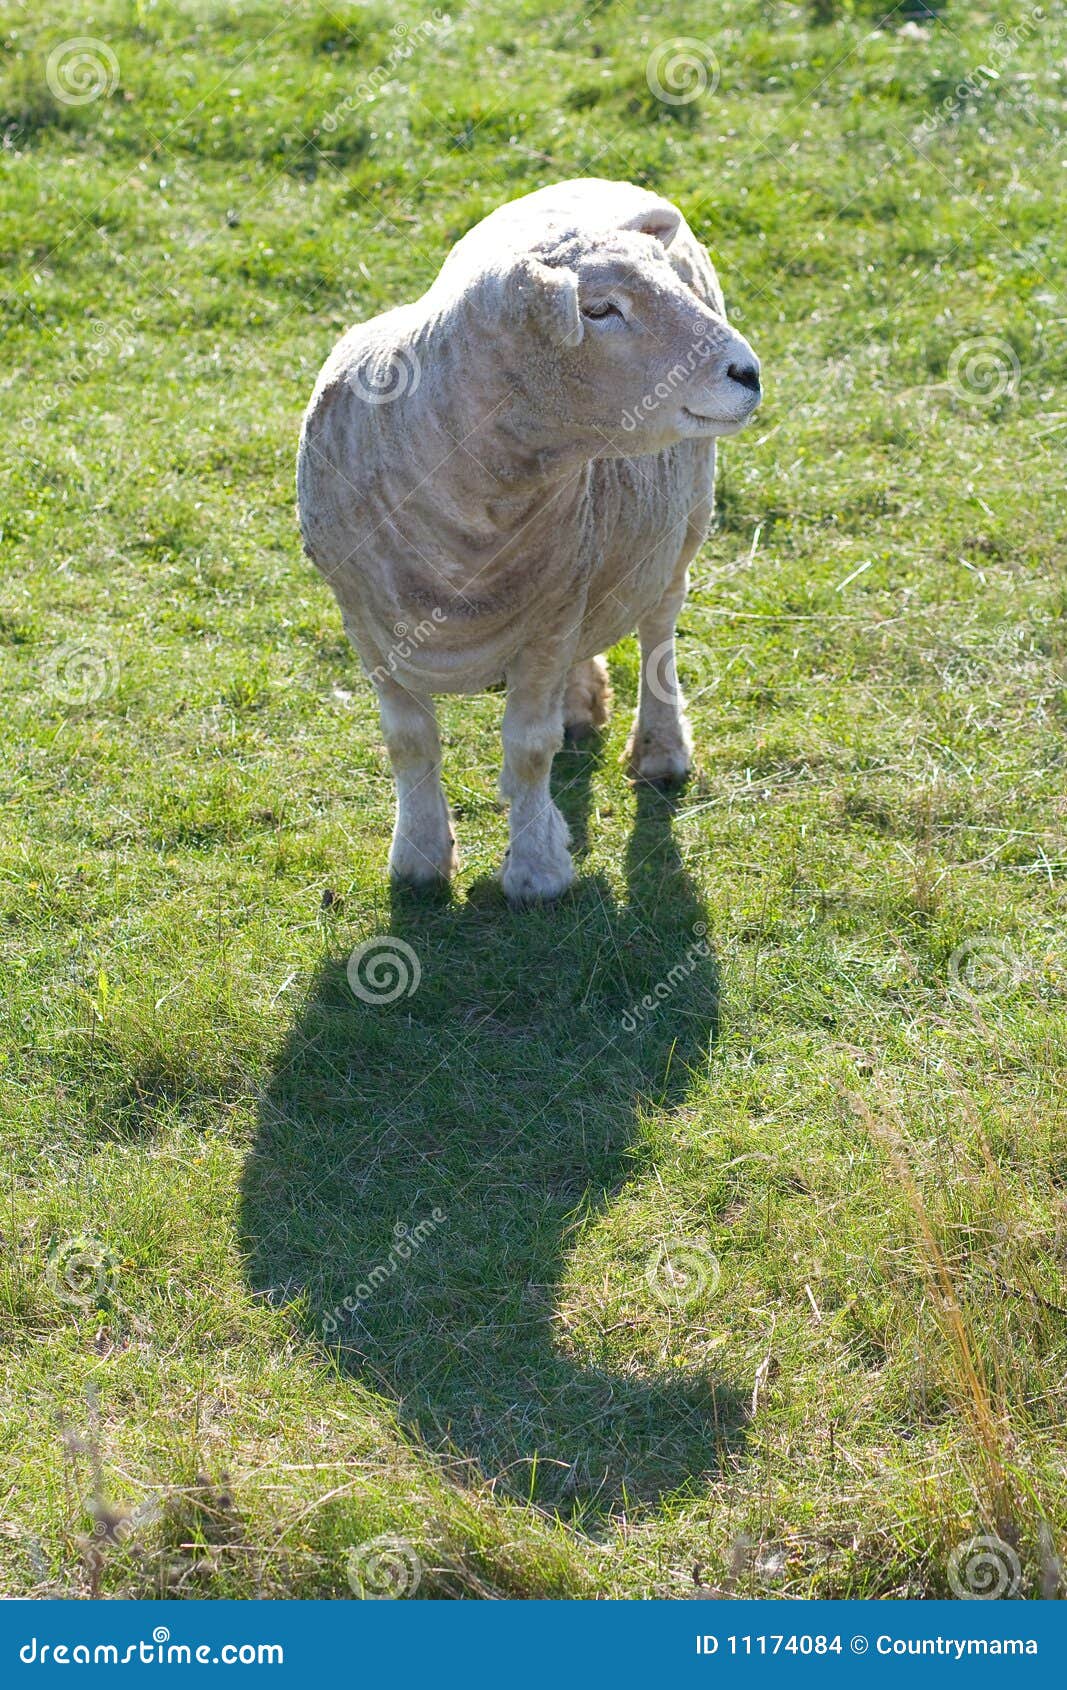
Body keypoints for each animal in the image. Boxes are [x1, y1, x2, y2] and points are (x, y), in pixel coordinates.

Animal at [297, 178, 761, 903]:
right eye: (599, 310)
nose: (748, 372)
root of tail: (604, 180)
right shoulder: (367, 623)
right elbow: (409, 742)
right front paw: (420, 859)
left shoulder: (548, 620)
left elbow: (528, 745)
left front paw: (537, 869)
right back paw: (581, 701)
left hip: (684, 518)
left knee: (658, 624)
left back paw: (659, 749)